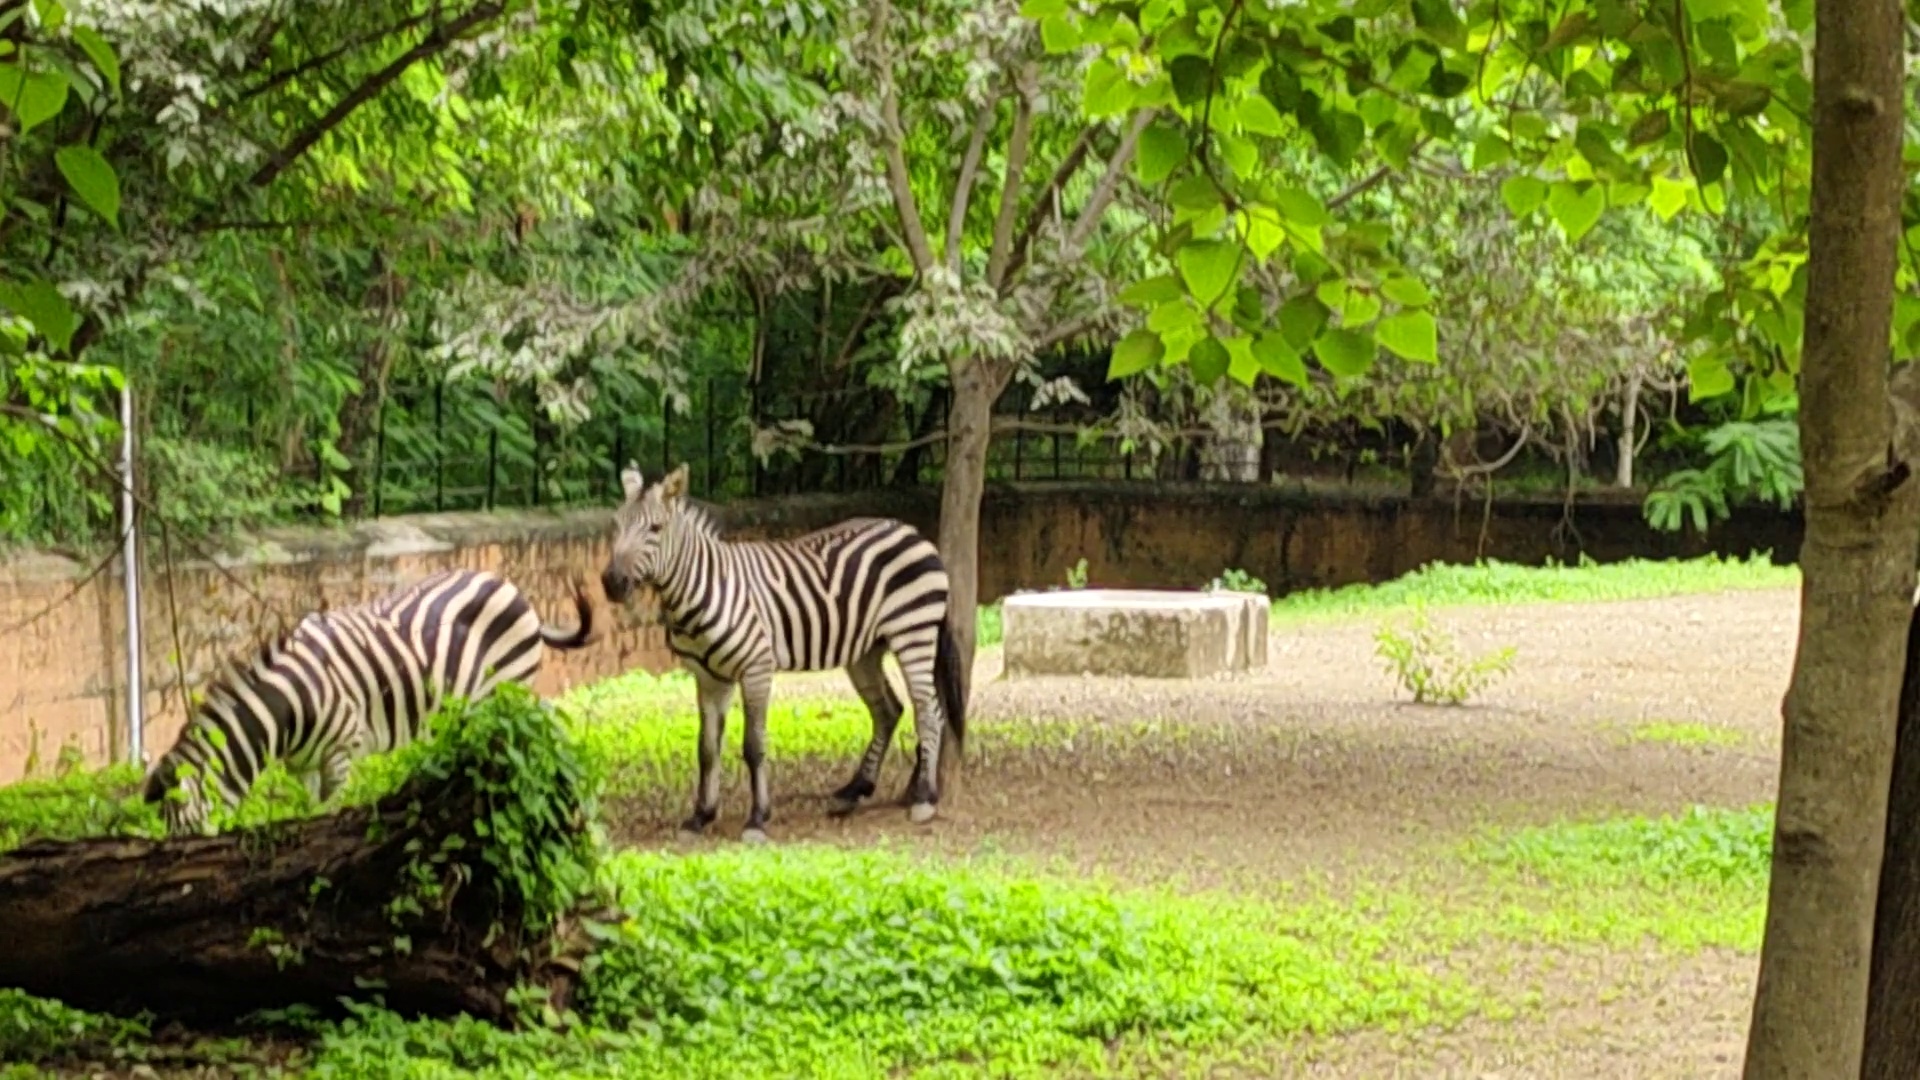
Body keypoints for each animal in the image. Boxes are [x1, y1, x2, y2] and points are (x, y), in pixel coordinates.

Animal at [142, 568, 599, 837]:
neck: (286, 708)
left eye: (183, 837)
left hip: (508, 688)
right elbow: (309, 811)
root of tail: (513, 588)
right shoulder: (302, 766)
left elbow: (329, 811)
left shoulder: (341, 753)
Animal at [599, 462, 967, 843]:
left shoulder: (756, 669)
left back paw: (924, 797)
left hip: (914, 631)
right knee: (889, 710)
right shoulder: (709, 678)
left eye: (655, 528)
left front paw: (757, 818)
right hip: (866, 650)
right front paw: (700, 816)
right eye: (616, 525)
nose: (612, 583)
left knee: (929, 710)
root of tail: (914, 532)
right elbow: (707, 749)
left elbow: (753, 745)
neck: (704, 590)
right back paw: (858, 789)